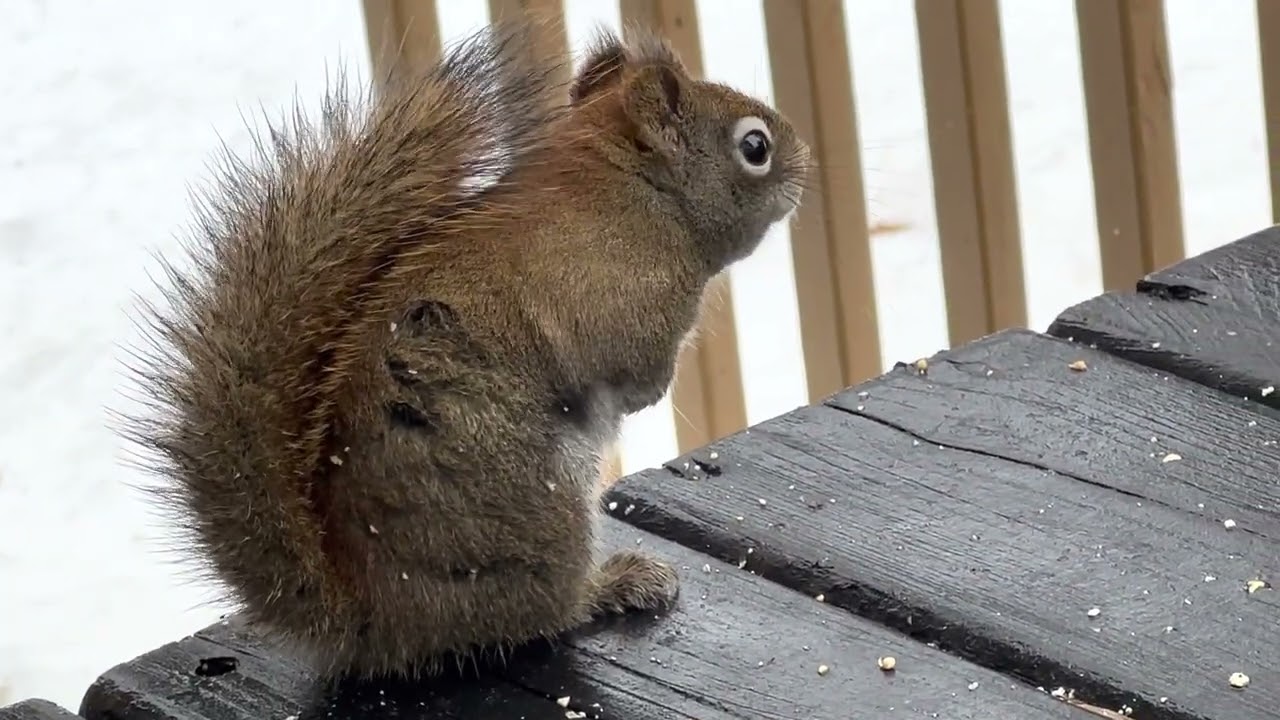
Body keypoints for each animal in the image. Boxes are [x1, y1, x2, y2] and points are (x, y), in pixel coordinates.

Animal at [119, 18, 809, 680]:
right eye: (754, 147)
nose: (804, 162)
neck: (634, 190)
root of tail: (373, 623)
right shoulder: (621, 297)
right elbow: (633, 365)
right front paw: (650, 392)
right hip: (538, 522)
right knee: (540, 614)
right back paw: (613, 585)